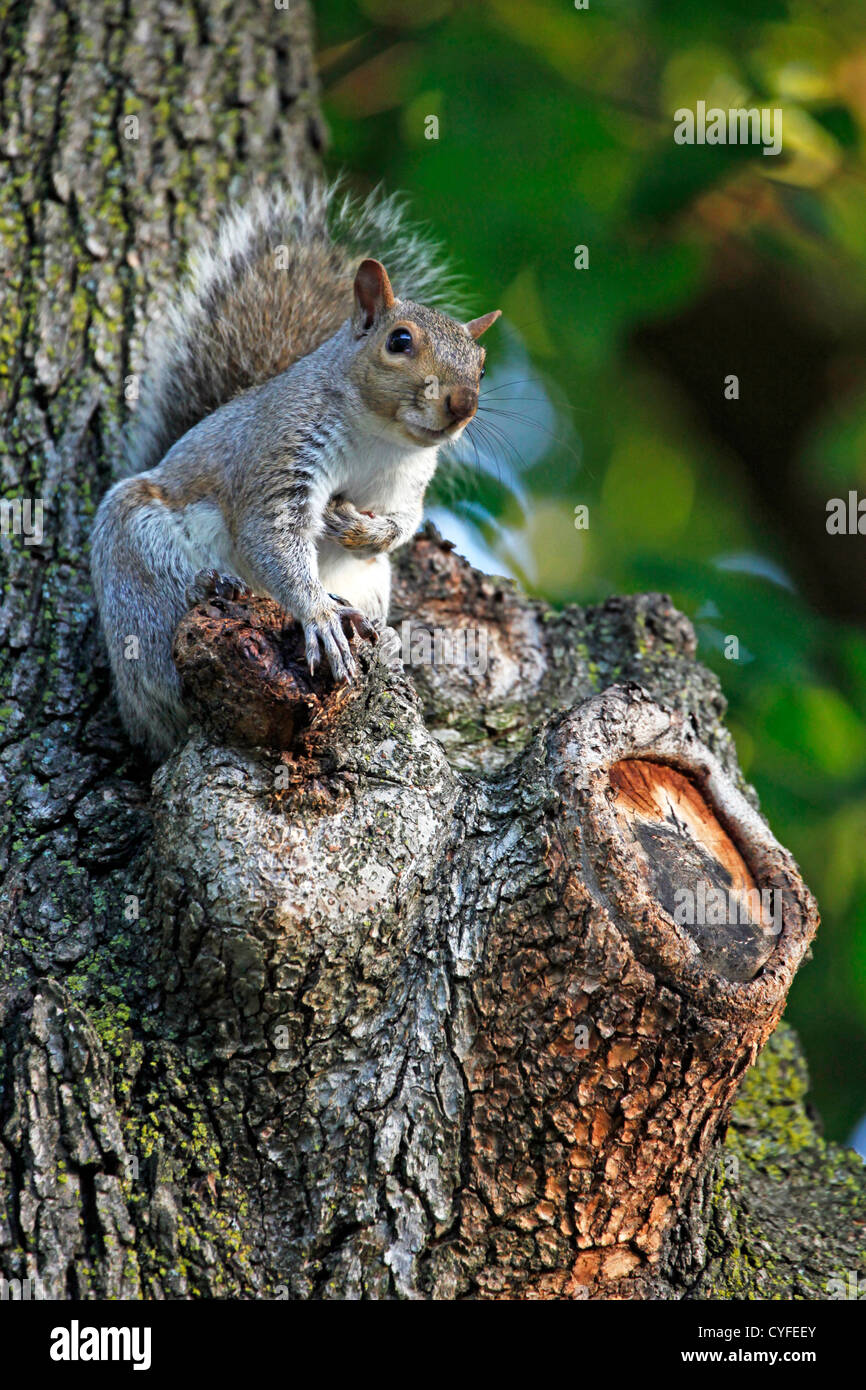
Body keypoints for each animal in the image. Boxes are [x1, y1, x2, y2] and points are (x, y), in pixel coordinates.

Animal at [90, 179, 501, 760]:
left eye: (482, 365)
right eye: (399, 340)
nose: (464, 404)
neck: (380, 437)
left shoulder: (408, 484)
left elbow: (403, 524)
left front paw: (361, 529)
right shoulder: (283, 447)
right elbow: (271, 535)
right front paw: (320, 617)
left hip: (371, 582)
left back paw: (387, 639)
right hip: (134, 555)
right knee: (162, 635)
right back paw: (214, 586)